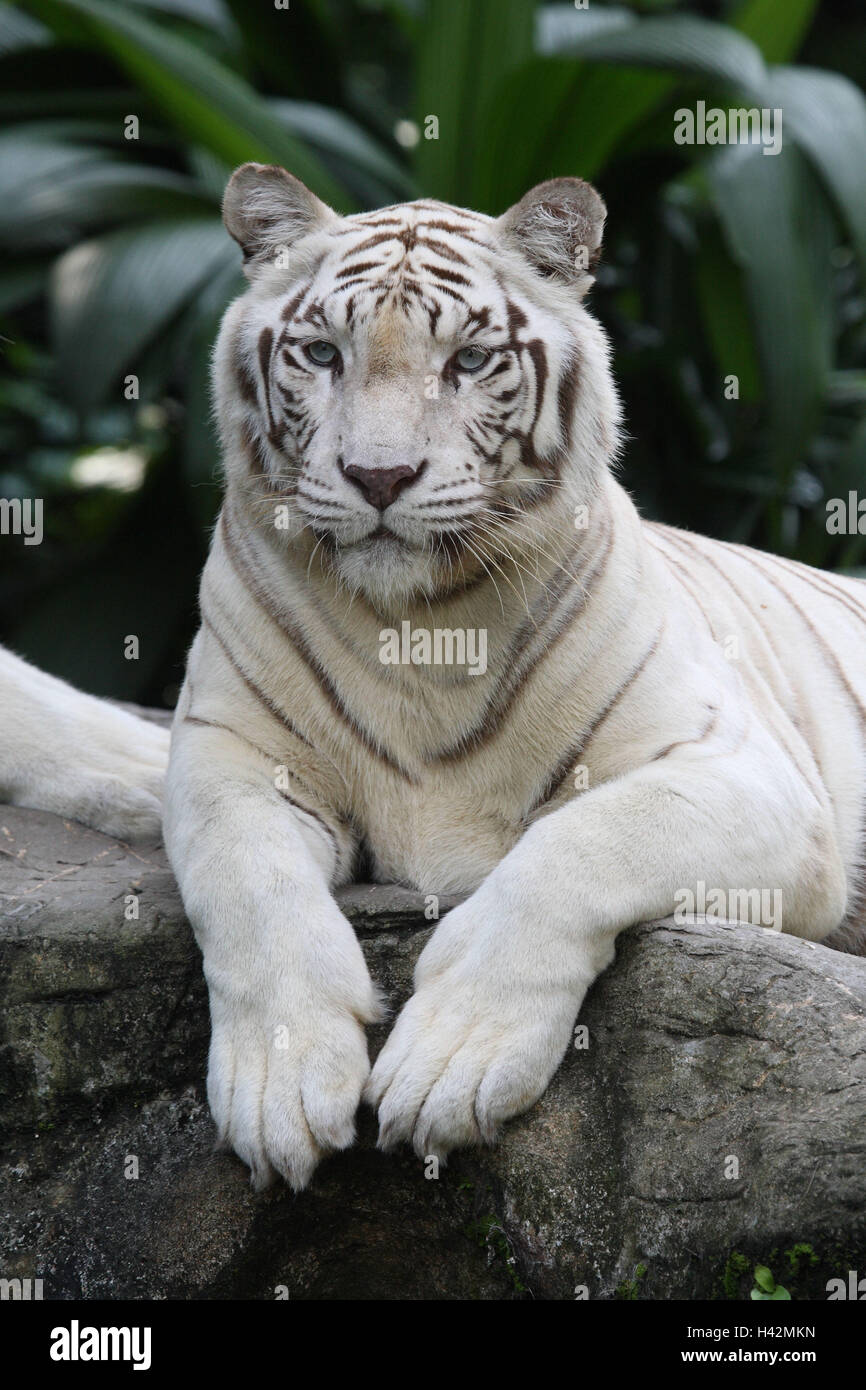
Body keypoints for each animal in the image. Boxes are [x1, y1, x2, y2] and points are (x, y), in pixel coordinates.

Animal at [3, 164, 865, 1193]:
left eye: (470, 360)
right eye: (322, 354)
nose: (379, 476)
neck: (418, 631)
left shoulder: (748, 777)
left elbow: (579, 846)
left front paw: (454, 1062)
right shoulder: (231, 756)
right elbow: (247, 884)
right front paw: (280, 1085)